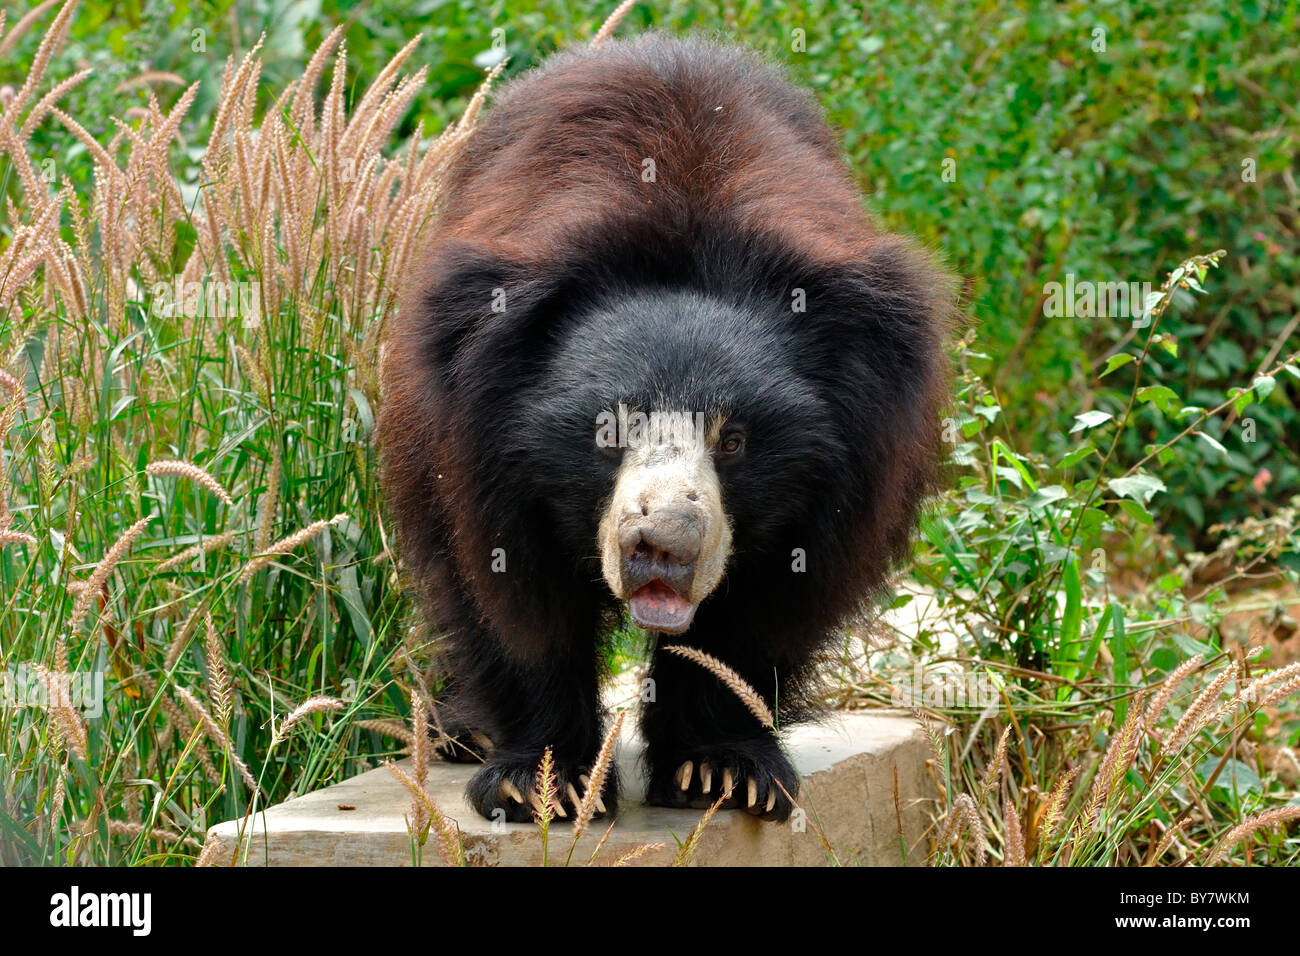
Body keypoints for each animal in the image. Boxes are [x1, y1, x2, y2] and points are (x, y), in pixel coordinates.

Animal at [378, 33, 953, 824]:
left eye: (734, 441)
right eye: (607, 432)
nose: (662, 547)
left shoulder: (852, 470)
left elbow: (760, 615)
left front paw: (722, 771)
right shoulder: (474, 439)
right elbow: (513, 596)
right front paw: (542, 781)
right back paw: (456, 731)